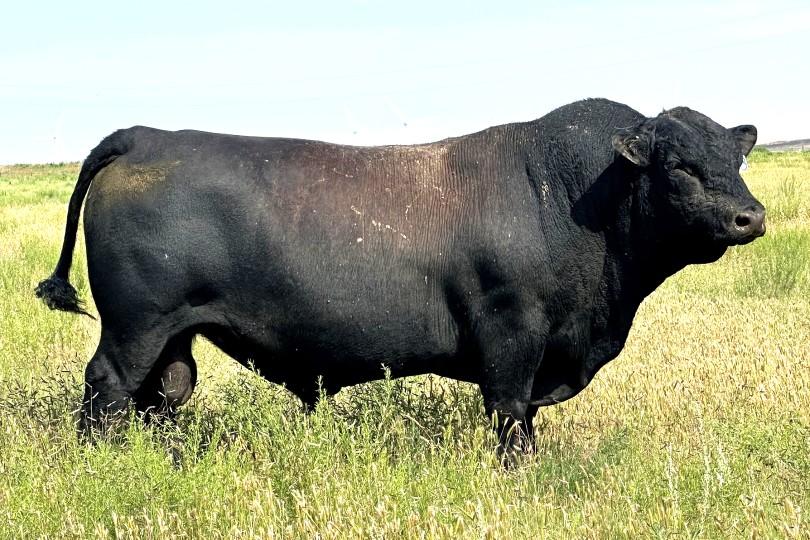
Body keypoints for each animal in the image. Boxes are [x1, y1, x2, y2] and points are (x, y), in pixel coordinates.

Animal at [36, 98, 764, 454]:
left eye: (735, 159)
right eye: (681, 167)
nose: (749, 216)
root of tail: (149, 135)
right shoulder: (513, 334)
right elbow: (510, 416)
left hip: (171, 335)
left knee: (163, 393)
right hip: (135, 325)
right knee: (108, 388)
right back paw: (100, 462)